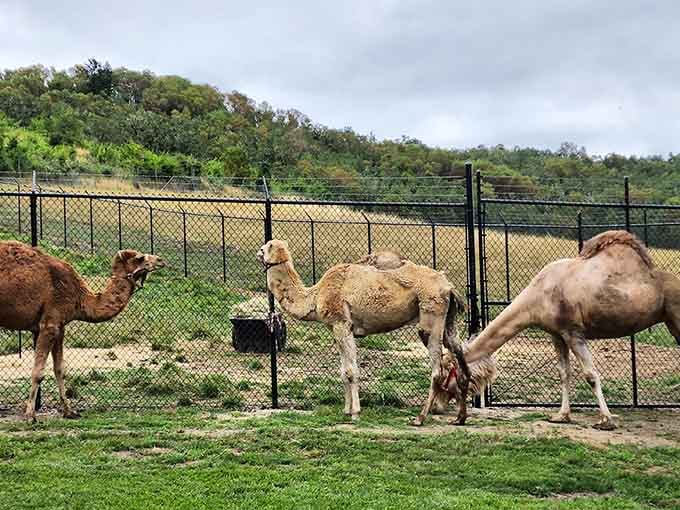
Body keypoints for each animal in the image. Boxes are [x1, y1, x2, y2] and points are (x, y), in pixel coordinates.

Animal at [0, 241, 165, 421]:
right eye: (140, 257)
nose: (161, 260)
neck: (80, 297)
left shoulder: (60, 326)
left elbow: (60, 369)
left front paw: (69, 412)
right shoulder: (49, 323)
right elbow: (38, 372)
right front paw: (30, 416)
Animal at [257, 240, 472, 423]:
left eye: (266, 247)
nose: (258, 253)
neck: (315, 295)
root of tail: (449, 287)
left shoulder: (342, 323)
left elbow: (351, 370)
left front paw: (355, 413)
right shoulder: (338, 328)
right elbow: (343, 370)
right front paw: (346, 410)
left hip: (431, 315)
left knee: (437, 368)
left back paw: (420, 418)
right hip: (448, 318)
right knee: (459, 354)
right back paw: (460, 418)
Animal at [464, 230, 680, 430]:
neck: (537, 298)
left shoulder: (573, 332)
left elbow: (590, 375)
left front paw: (606, 420)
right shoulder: (556, 334)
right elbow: (564, 373)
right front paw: (562, 416)